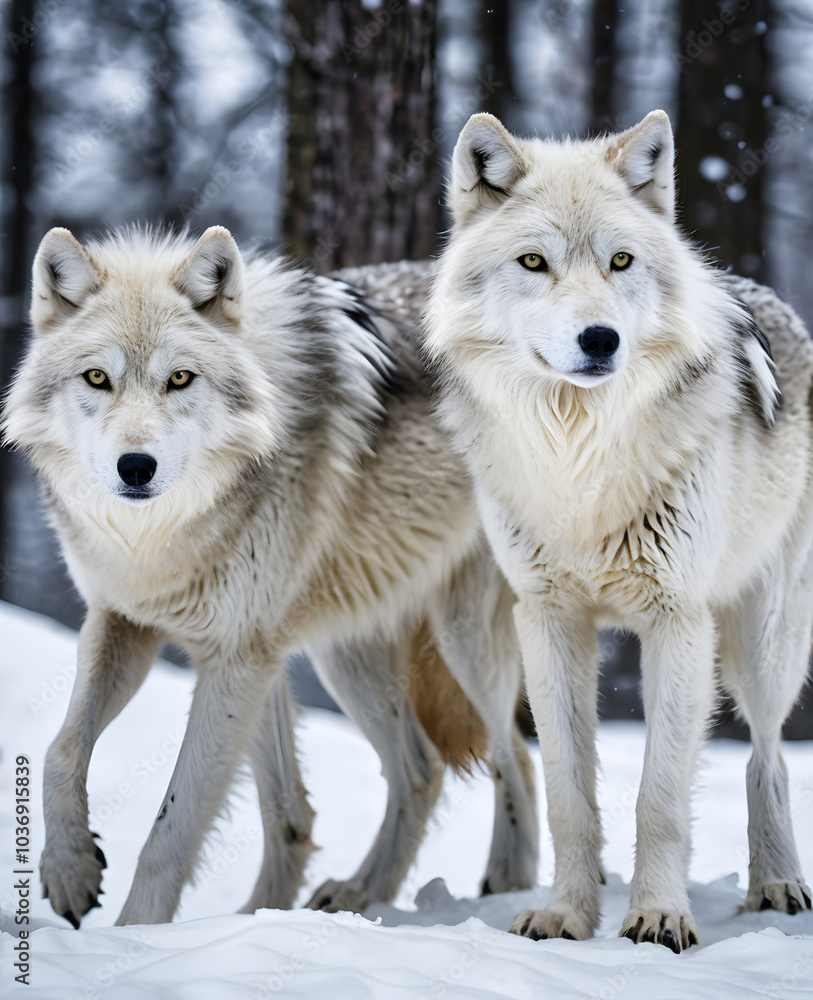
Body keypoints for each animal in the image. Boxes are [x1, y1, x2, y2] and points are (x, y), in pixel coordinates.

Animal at [2, 226, 539, 926]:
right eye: (97, 377)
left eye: (180, 379)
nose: (136, 467)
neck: (161, 538)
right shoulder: (129, 623)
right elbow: (59, 752)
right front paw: (68, 873)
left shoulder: (234, 655)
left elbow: (172, 829)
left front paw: (135, 934)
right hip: (338, 653)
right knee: (408, 775)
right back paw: (341, 899)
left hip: (460, 637)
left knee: (517, 758)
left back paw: (508, 888)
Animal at [422, 110, 813, 952]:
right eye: (533, 263)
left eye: (620, 261)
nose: (599, 338)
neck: (580, 463)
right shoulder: (547, 621)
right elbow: (569, 791)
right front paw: (567, 915)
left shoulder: (677, 621)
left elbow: (658, 796)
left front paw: (658, 916)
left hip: (764, 638)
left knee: (766, 754)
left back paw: (775, 887)